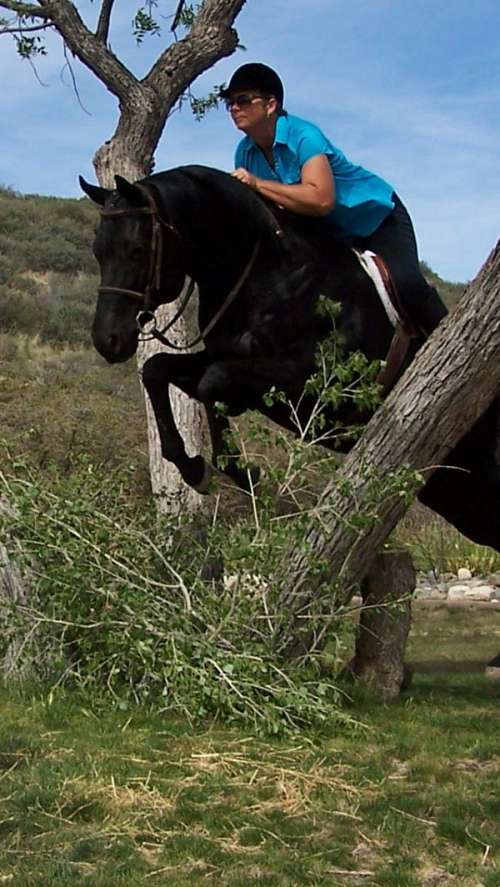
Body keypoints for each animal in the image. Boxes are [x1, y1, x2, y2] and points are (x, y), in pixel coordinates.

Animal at [80, 165, 500, 553]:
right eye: (98, 251)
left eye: (137, 248)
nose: (108, 340)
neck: (271, 273)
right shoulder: (228, 356)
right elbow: (162, 371)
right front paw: (194, 467)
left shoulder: (321, 388)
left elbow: (212, 381)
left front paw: (240, 471)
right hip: (459, 497)